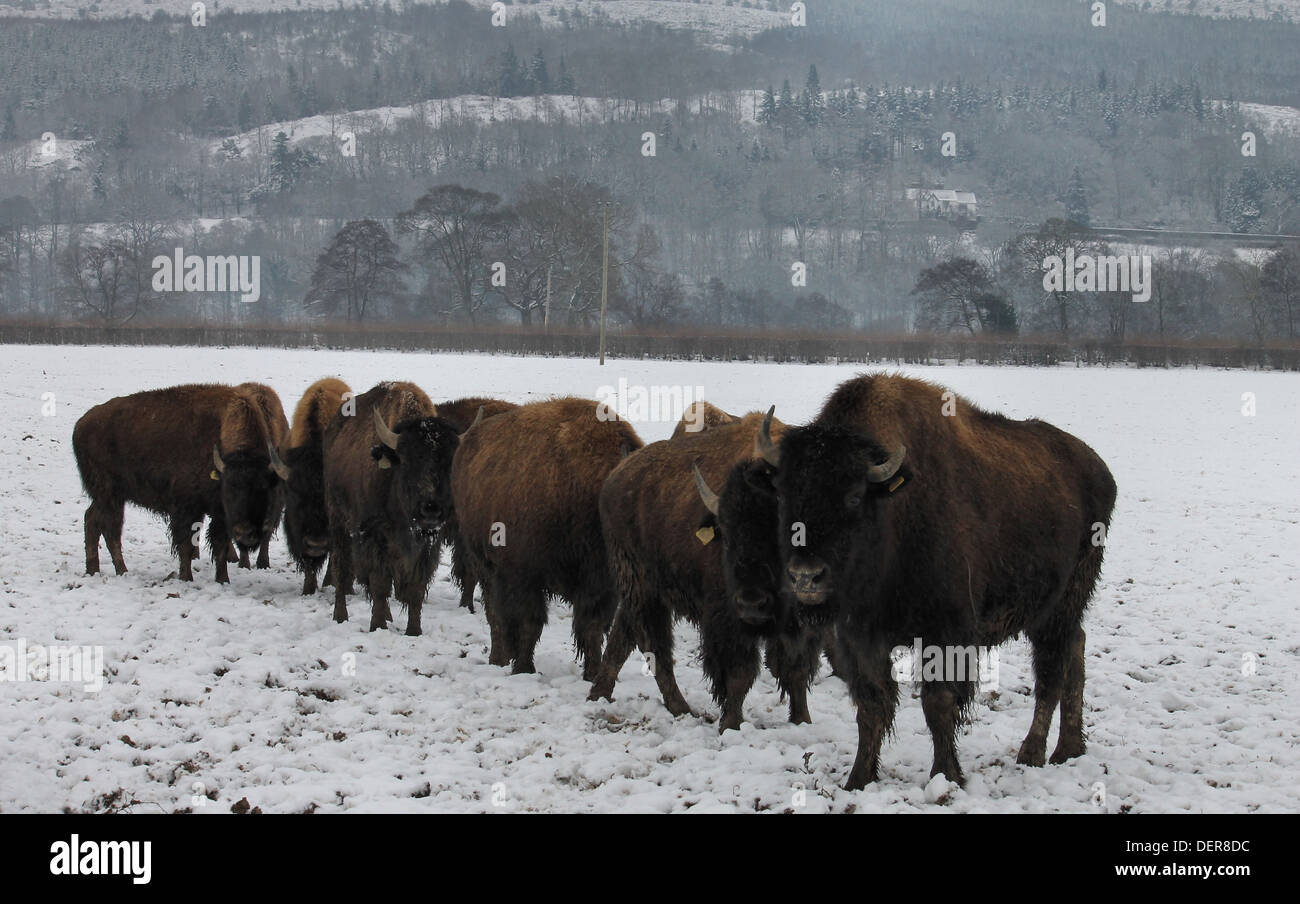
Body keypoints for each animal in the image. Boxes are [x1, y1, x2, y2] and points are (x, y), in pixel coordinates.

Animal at [73, 383, 289, 583]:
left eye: (265, 490)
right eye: (229, 490)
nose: (245, 533)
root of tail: (82, 424)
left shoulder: (219, 513)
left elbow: (219, 546)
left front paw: (223, 580)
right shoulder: (187, 507)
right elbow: (186, 543)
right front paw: (186, 578)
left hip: (109, 496)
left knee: (92, 520)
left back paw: (93, 569)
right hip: (109, 494)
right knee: (111, 530)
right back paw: (121, 570)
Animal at [322, 382, 459, 635]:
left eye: (448, 463)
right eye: (408, 461)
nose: (431, 510)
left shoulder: (428, 544)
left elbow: (416, 587)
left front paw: (414, 630)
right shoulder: (374, 535)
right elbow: (379, 582)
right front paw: (377, 625)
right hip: (337, 519)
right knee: (341, 567)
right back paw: (340, 616)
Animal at [451, 397, 643, 677]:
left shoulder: (601, 585)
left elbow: (592, 627)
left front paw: (592, 673)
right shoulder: (524, 575)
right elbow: (530, 622)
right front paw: (524, 668)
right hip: (484, 563)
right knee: (494, 612)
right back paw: (499, 658)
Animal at [768, 374, 1116, 788]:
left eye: (853, 496)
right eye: (784, 496)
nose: (805, 576)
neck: (893, 508)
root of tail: (1098, 469)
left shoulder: (947, 632)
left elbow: (938, 704)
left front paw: (946, 776)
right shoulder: (861, 636)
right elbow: (871, 705)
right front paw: (859, 778)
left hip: (1061, 604)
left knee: (1051, 673)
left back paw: (1032, 754)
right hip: (1056, 608)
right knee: (1074, 651)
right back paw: (1069, 749)